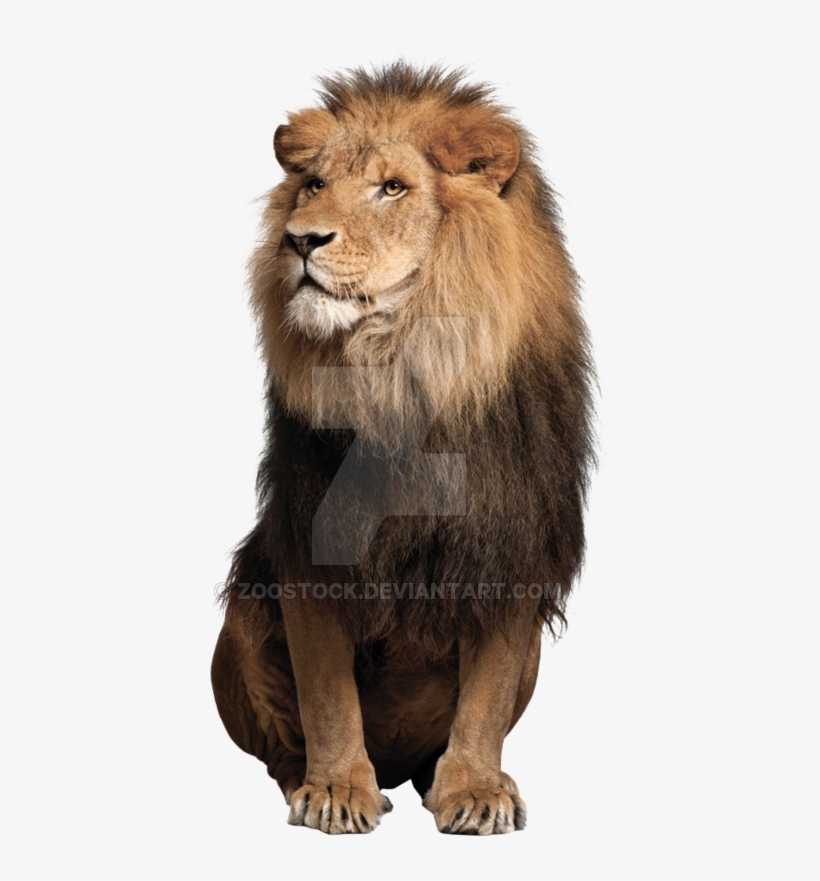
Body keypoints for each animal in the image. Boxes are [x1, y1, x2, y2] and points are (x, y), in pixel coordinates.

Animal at [212, 63, 595, 835]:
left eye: (392, 188)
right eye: (311, 185)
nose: (299, 240)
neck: (404, 369)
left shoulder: (510, 543)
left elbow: (486, 694)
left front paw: (474, 788)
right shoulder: (311, 542)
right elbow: (327, 692)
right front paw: (336, 790)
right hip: (239, 619)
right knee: (281, 743)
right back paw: (309, 780)